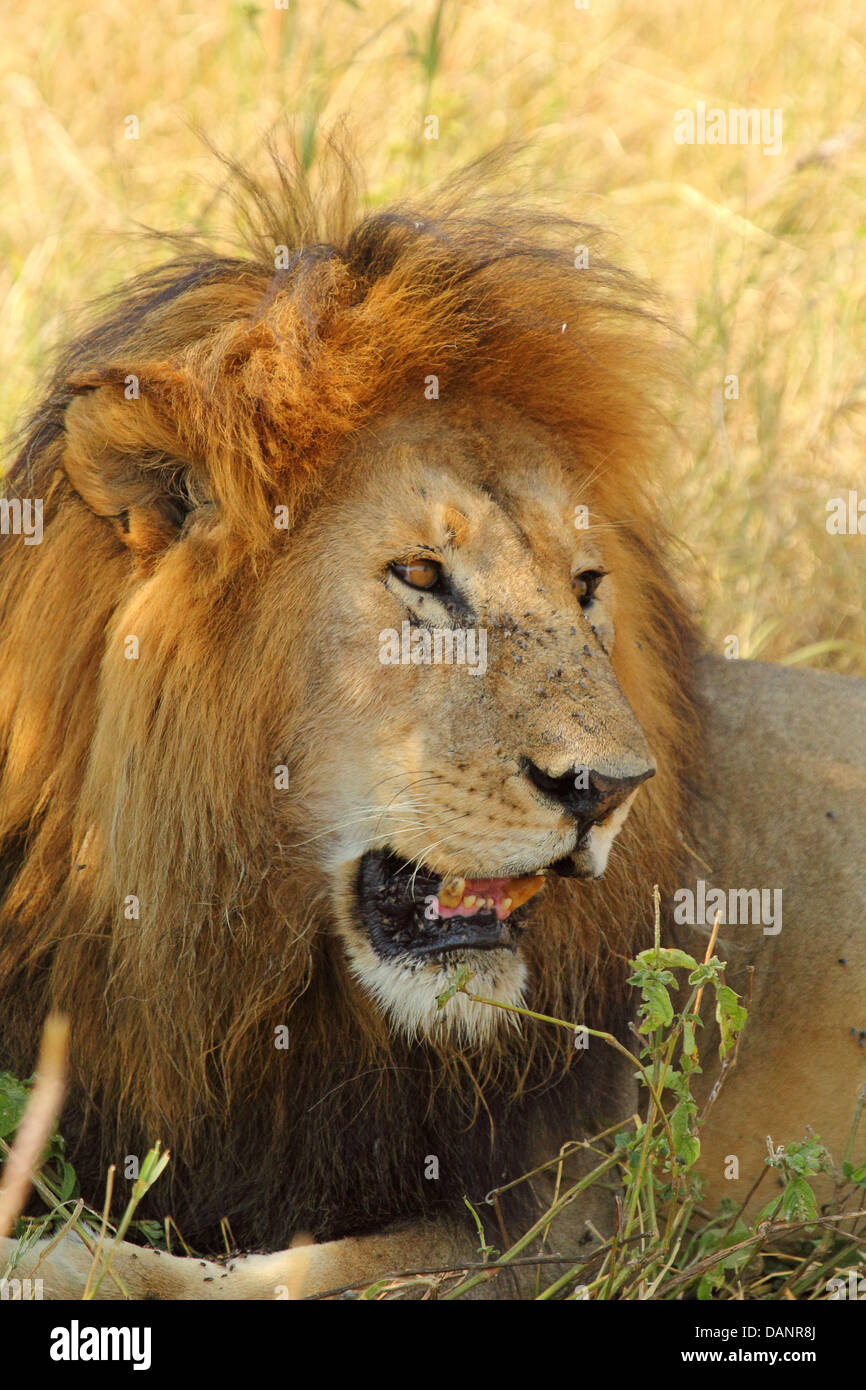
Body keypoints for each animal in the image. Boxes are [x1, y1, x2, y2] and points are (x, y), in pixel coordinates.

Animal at [1, 162, 864, 1299]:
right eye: (419, 573)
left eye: (584, 587)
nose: (608, 789)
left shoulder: (560, 1225)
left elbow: (256, 1274)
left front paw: (60, 1261)